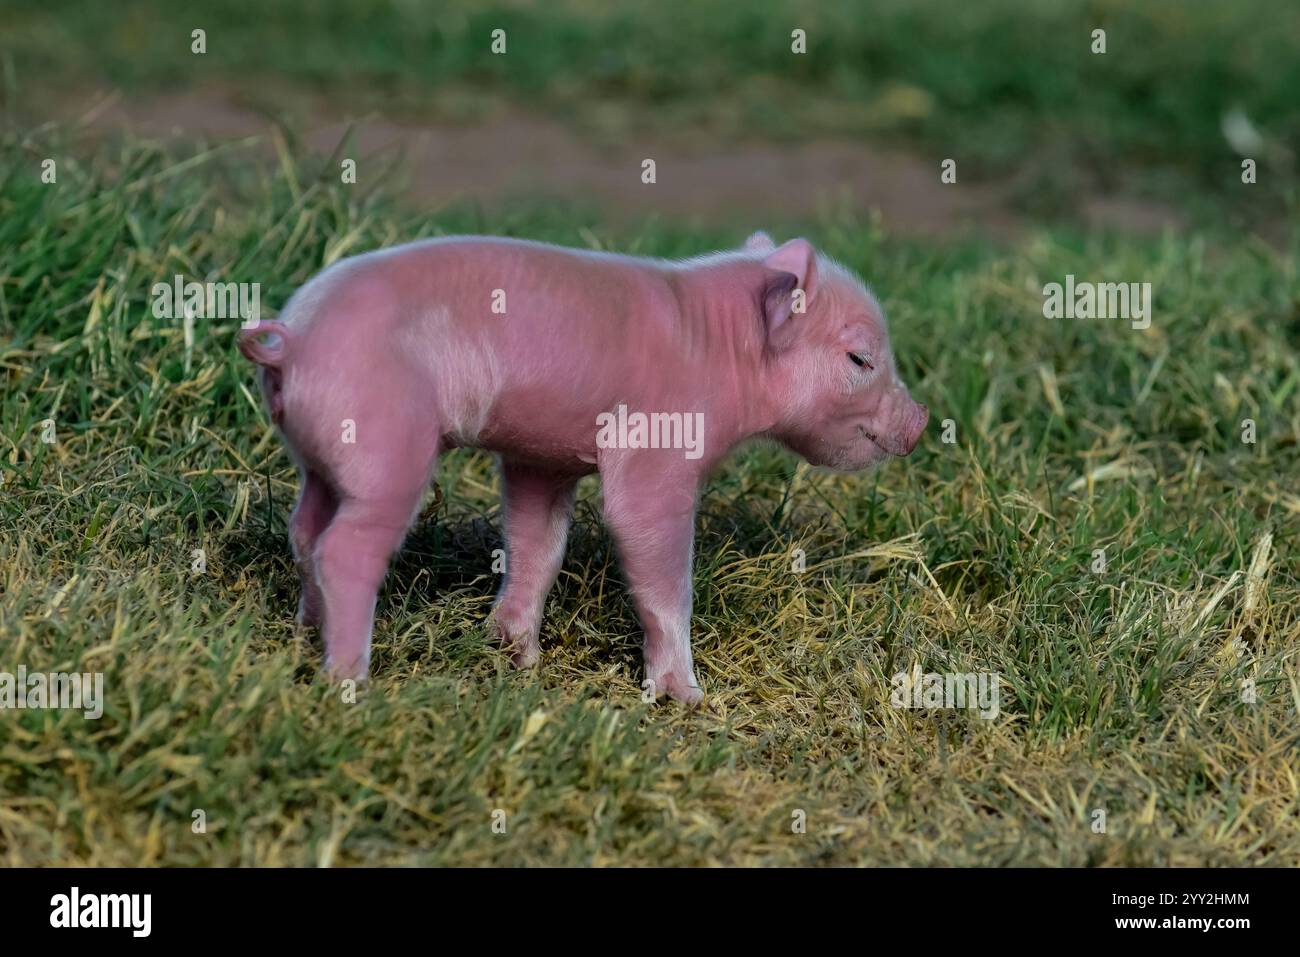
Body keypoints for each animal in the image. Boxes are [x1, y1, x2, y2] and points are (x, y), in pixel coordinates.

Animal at [238, 231, 927, 704]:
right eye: (860, 358)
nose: (921, 420)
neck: (720, 348)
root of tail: (293, 337)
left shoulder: (538, 458)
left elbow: (537, 547)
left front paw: (518, 658)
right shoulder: (657, 450)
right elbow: (660, 566)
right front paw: (687, 698)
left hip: (323, 461)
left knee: (306, 531)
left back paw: (304, 638)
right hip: (387, 447)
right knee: (345, 547)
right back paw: (351, 682)